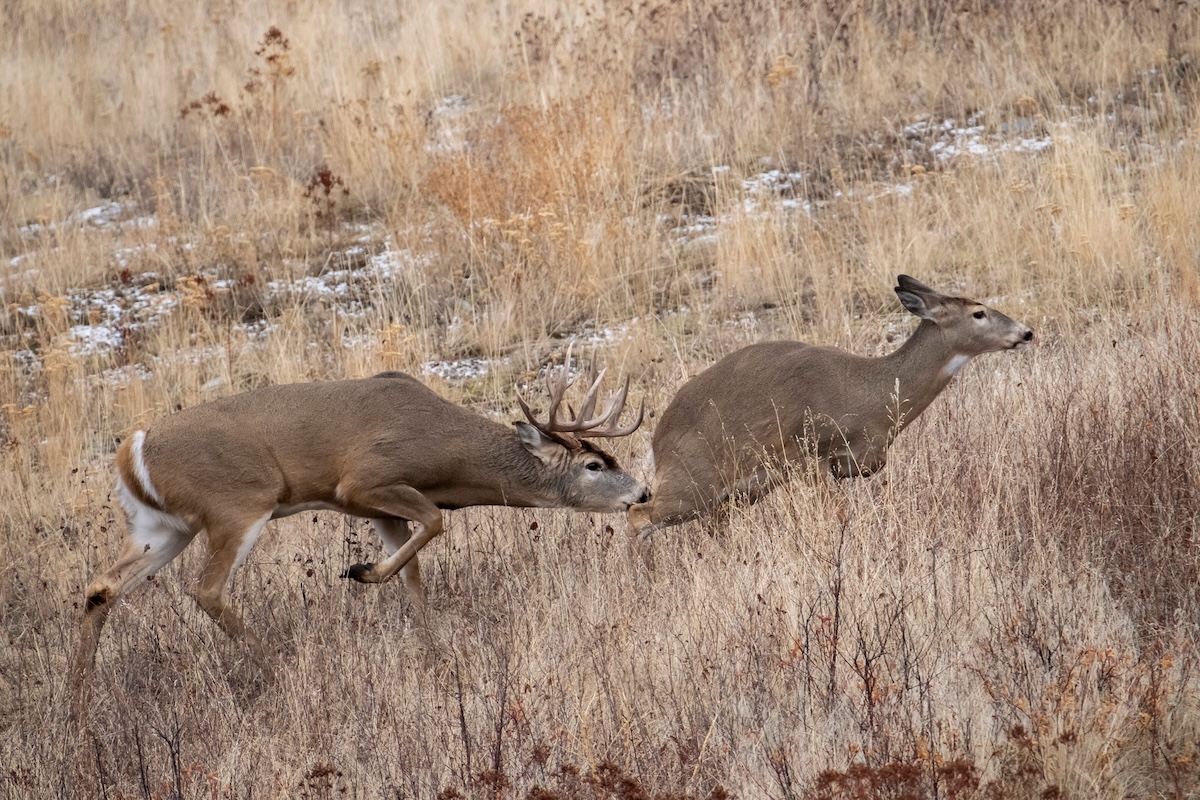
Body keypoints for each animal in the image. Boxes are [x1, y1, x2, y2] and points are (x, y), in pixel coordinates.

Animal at [70, 346, 648, 711]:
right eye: (595, 465)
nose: (642, 493)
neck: (452, 456)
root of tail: (131, 450)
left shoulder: (384, 508)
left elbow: (414, 574)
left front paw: (437, 658)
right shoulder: (364, 482)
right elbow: (434, 522)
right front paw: (360, 570)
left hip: (161, 527)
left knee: (101, 587)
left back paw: (77, 707)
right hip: (239, 503)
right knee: (205, 589)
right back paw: (279, 672)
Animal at [627, 275, 1033, 548]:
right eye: (979, 313)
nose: (1026, 332)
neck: (870, 394)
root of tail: (657, 443)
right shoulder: (807, 454)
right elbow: (839, 517)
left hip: (731, 495)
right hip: (693, 485)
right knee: (637, 516)